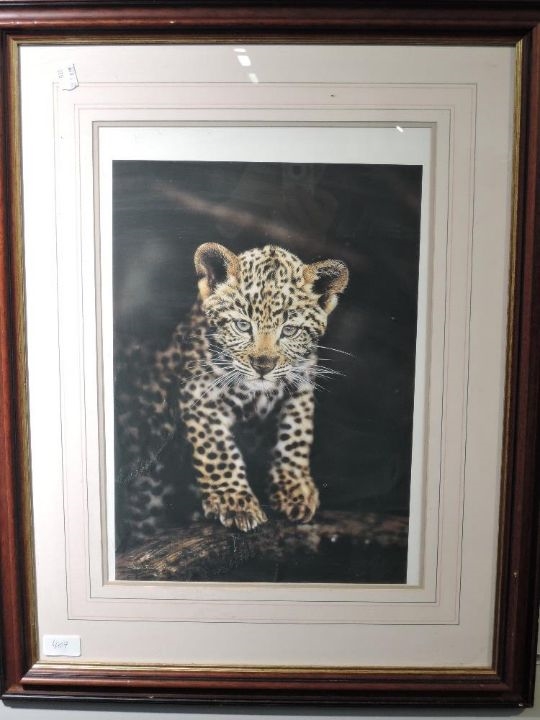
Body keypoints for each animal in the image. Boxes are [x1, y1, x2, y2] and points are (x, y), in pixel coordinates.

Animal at [115, 243, 348, 548]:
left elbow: (294, 438)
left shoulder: (300, 387)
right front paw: (235, 502)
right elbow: (218, 450)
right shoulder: (200, 394)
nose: (263, 365)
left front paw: (295, 491)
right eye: (242, 325)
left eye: (289, 330)